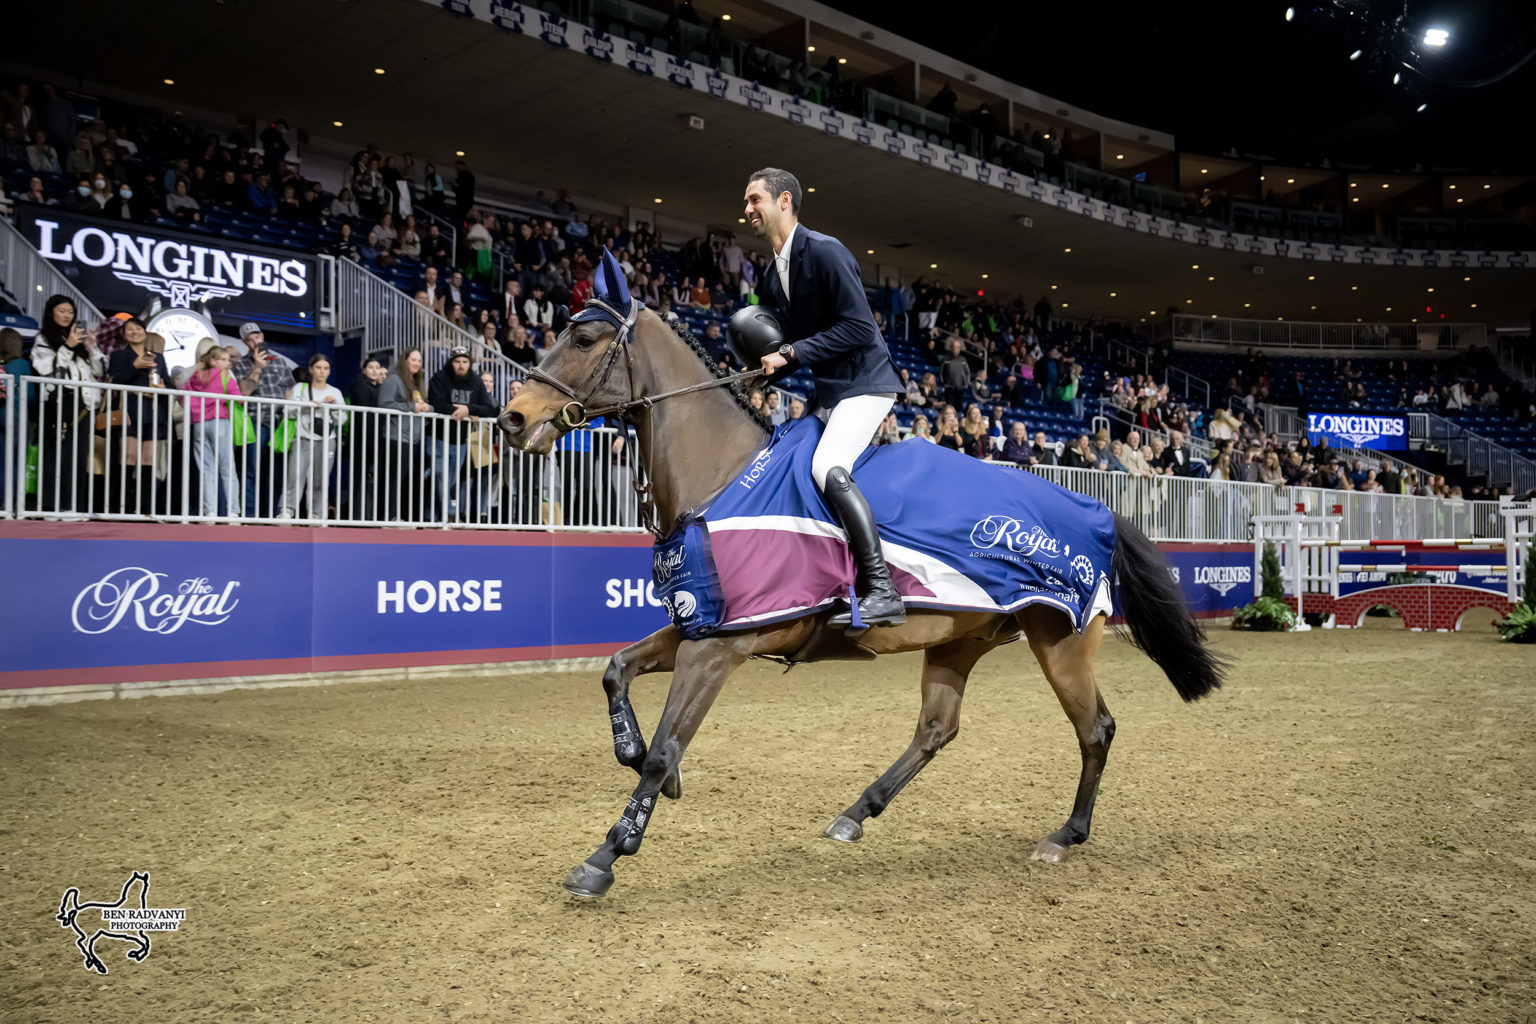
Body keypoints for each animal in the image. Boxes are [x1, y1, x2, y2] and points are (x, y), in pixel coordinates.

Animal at [498, 297, 1225, 900]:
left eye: (584, 339)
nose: (512, 417)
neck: (726, 476)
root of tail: (1097, 509)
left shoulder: (721, 648)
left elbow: (664, 751)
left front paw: (605, 856)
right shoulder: (699, 627)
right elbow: (615, 671)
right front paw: (631, 756)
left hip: (1061, 640)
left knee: (1094, 728)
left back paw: (1064, 835)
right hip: (960, 639)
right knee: (936, 729)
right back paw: (855, 814)